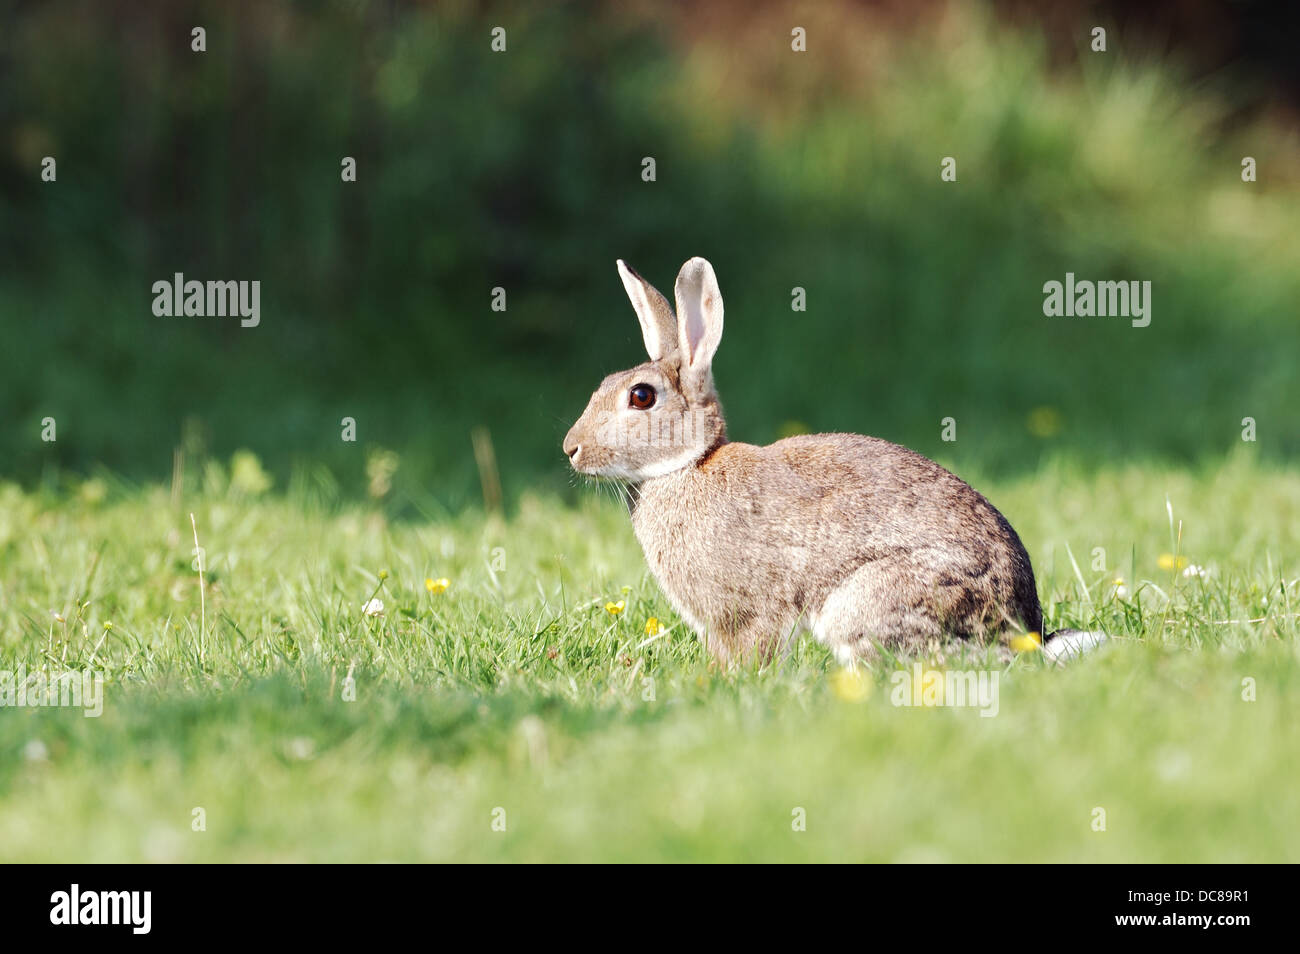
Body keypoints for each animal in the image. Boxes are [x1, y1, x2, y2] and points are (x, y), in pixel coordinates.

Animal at [563, 257, 1106, 665]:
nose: (571, 448)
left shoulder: (747, 610)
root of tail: (1026, 629)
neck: (686, 466)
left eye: (641, 397)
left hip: (865, 601)